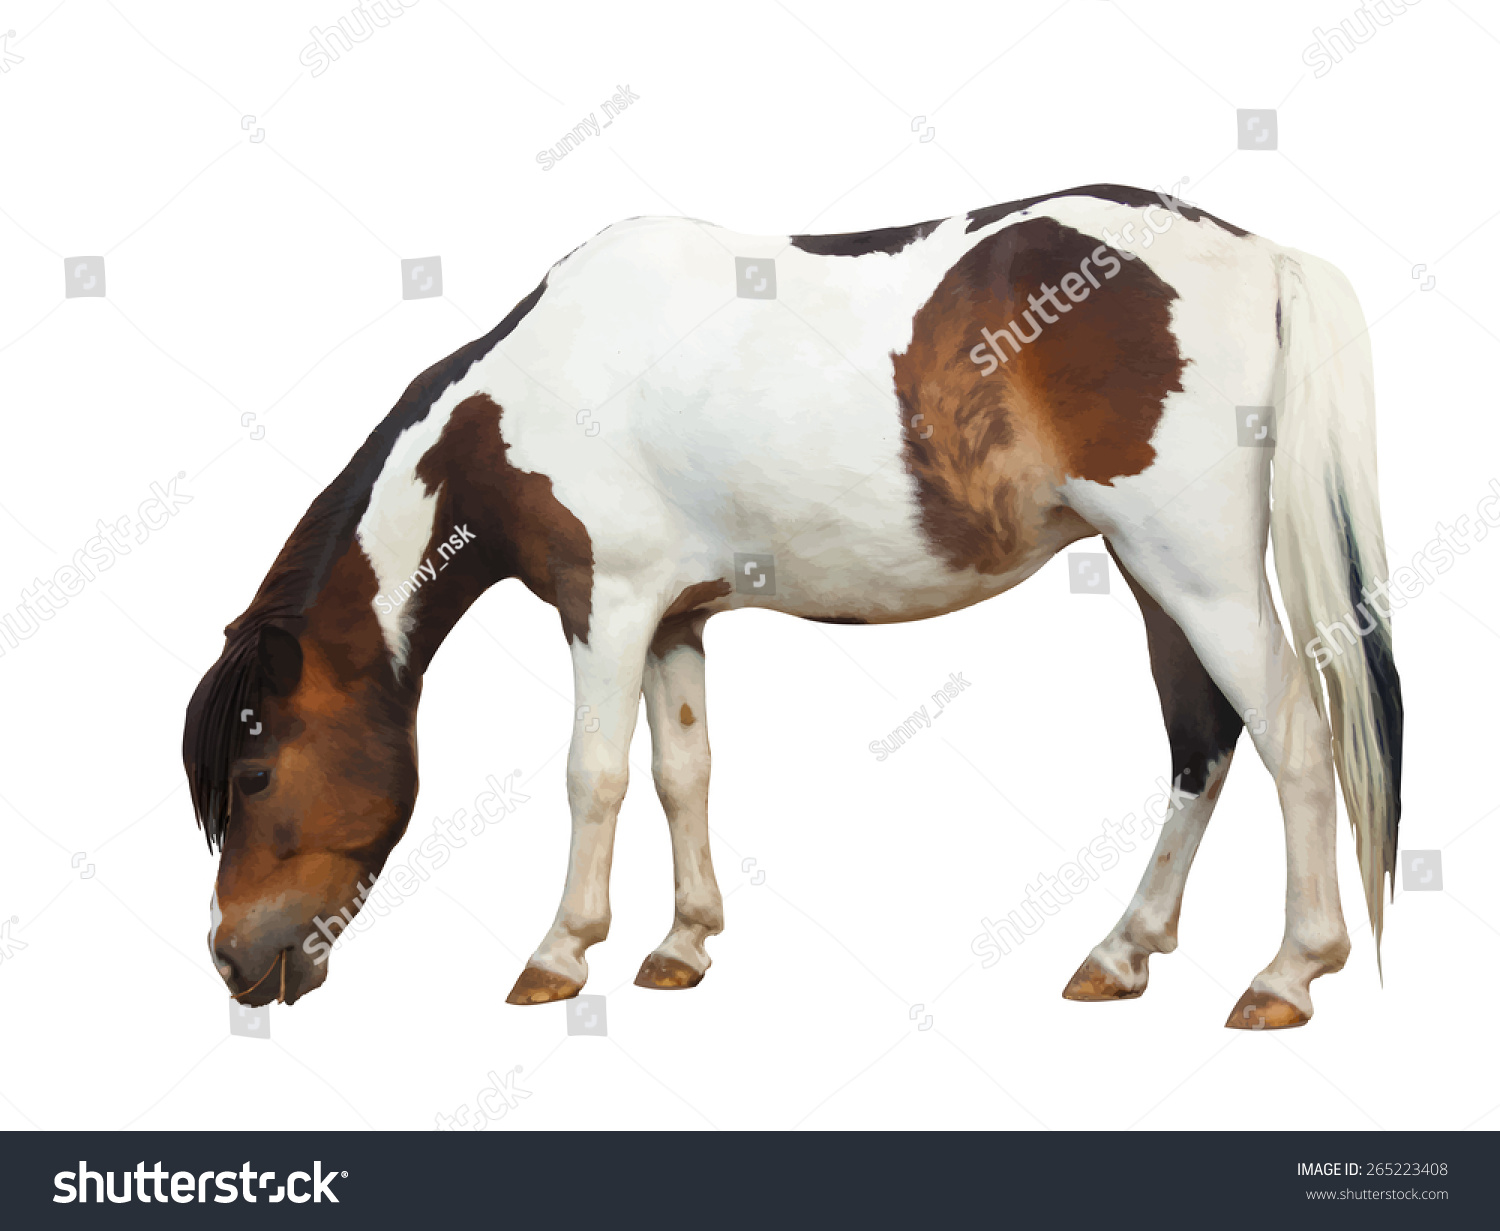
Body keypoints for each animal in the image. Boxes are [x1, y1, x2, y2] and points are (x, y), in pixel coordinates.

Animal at [184, 183, 1403, 1029]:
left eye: (256, 772)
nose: (231, 961)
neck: (528, 395)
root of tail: (1260, 253)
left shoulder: (607, 605)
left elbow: (594, 776)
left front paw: (560, 953)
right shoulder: (674, 618)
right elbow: (683, 771)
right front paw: (682, 944)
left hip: (1197, 570)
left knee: (1295, 738)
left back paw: (1287, 973)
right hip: (1158, 576)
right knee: (1204, 742)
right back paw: (1121, 954)